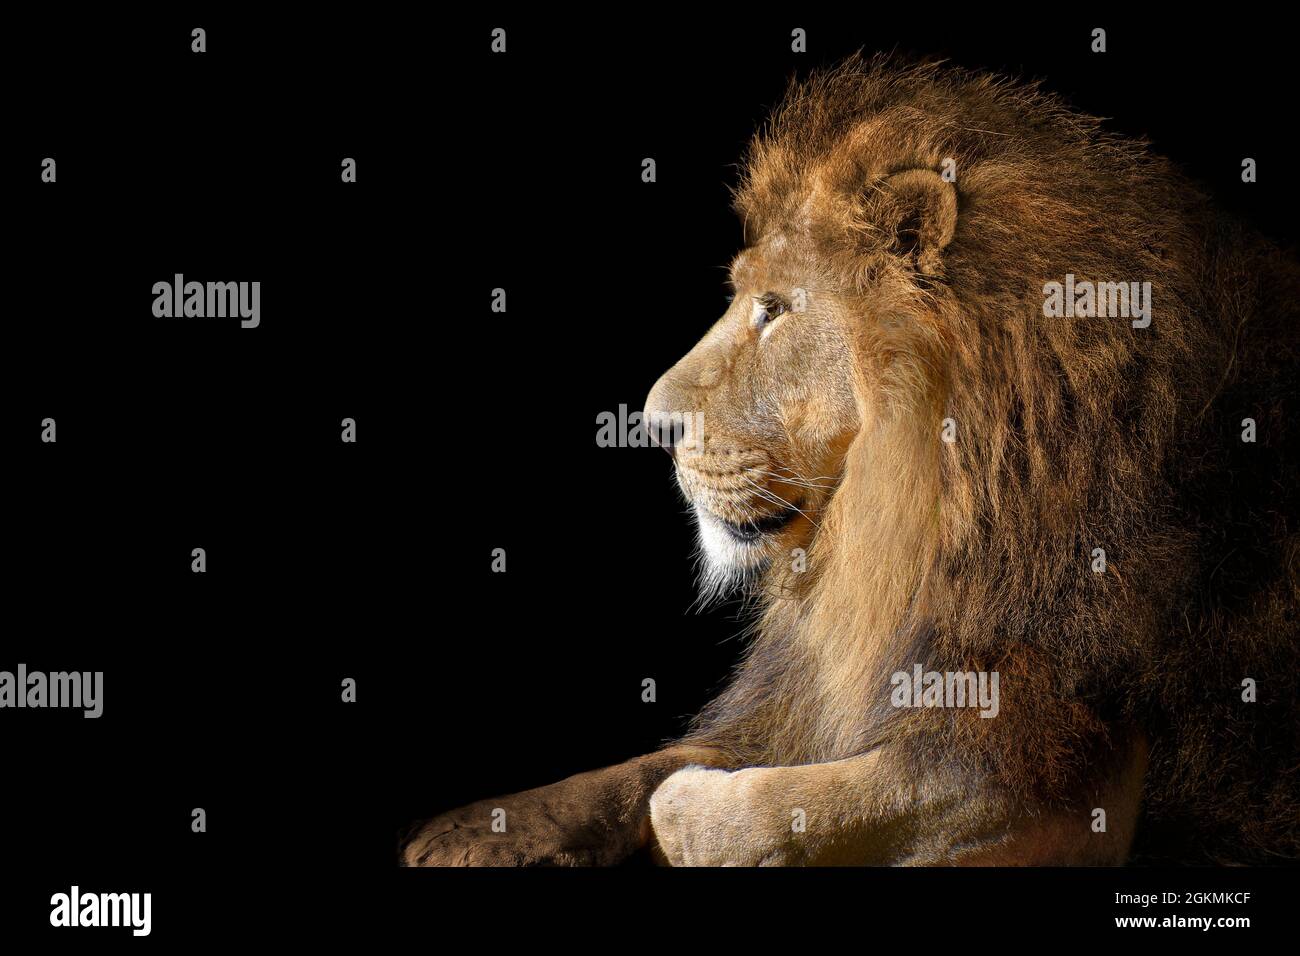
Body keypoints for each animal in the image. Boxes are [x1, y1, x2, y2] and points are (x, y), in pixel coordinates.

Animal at [403, 54, 1298, 866]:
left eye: (774, 309)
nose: (651, 423)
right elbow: (645, 764)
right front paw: (479, 827)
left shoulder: (1054, 760)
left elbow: (772, 809)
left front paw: (690, 811)